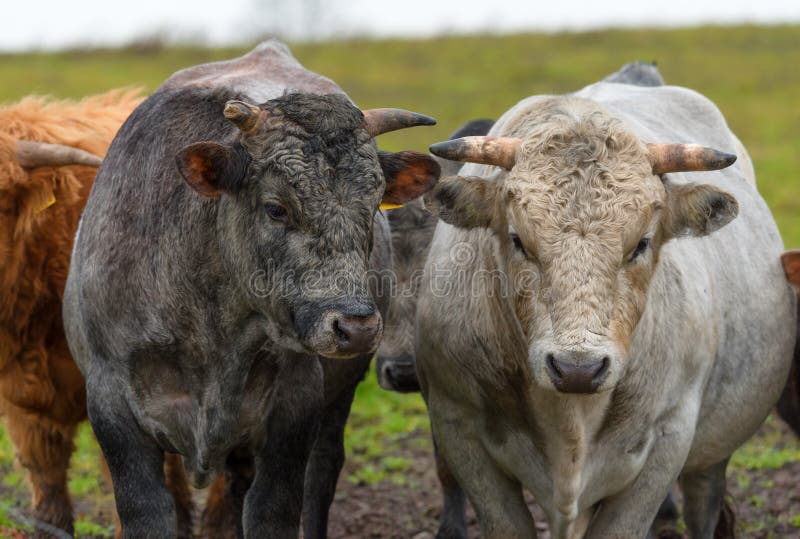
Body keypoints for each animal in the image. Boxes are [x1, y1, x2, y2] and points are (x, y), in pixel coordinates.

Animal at [62, 40, 440, 538]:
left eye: (374, 203)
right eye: (276, 208)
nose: (355, 326)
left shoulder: (295, 407)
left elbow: (273, 508)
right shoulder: (111, 407)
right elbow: (150, 511)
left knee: (320, 474)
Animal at [417, 74, 795, 538]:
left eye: (642, 244)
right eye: (518, 240)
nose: (578, 368)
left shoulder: (668, 438)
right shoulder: (457, 423)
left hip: (710, 457)